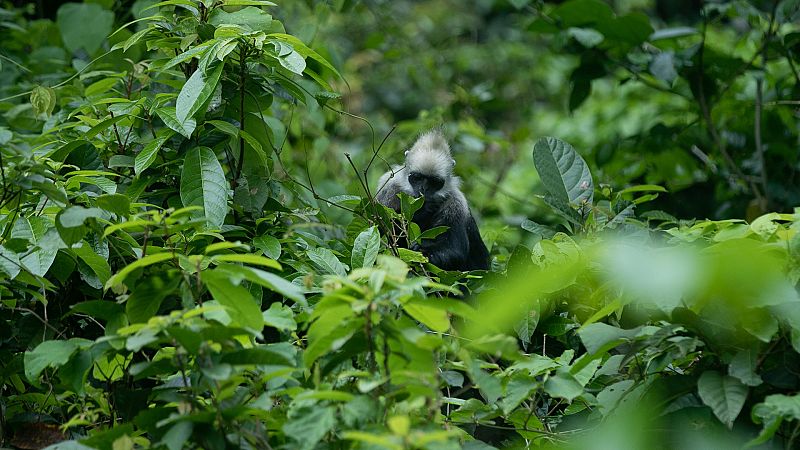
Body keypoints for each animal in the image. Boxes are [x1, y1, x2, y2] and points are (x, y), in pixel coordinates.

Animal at [375, 130, 490, 272]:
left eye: (434, 182)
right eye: (417, 177)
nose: (424, 189)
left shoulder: (456, 203)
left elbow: (454, 250)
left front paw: (420, 250)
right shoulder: (388, 190)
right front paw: (423, 210)